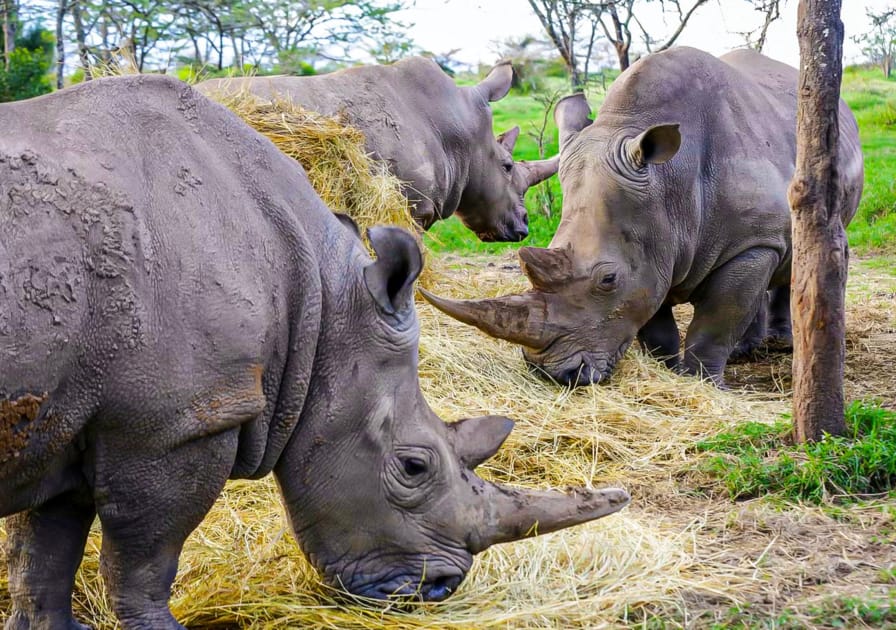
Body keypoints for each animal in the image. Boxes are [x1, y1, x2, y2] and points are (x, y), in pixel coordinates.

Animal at [422, 48, 864, 387]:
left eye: (607, 279)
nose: (554, 375)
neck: (669, 185)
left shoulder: (750, 245)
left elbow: (715, 320)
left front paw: (702, 383)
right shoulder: (657, 244)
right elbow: (655, 323)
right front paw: (666, 369)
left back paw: (781, 346)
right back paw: (744, 351)